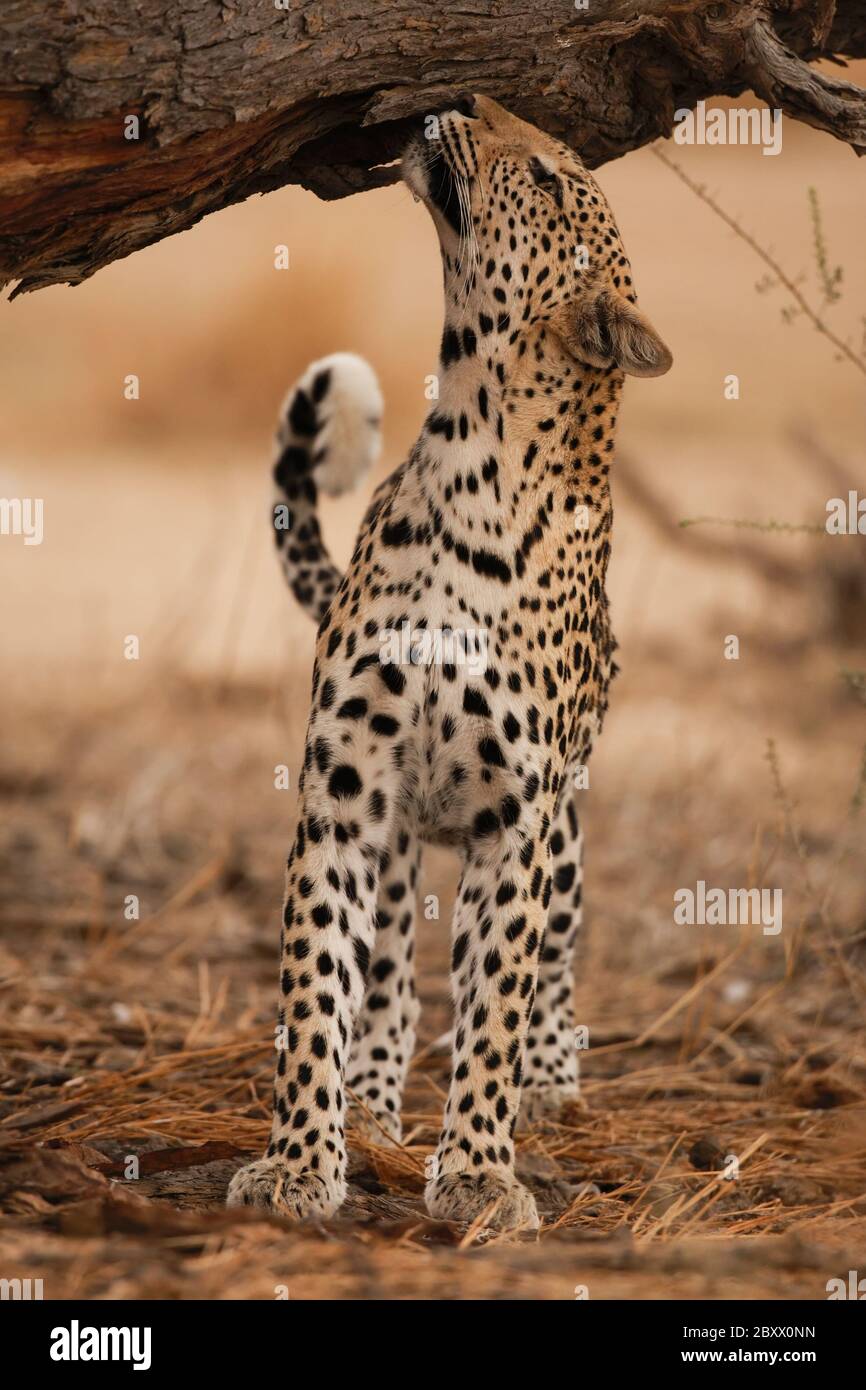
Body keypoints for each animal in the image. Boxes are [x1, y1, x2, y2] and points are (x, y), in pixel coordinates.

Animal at [226, 93, 672, 1232]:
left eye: (553, 178)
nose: (465, 99)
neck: (467, 454)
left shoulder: (515, 820)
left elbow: (495, 1007)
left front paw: (477, 1171)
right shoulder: (344, 796)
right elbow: (315, 988)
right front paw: (300, 1161)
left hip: (565, 830)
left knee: (550, 960)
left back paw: (551, 1085)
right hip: (394, 848)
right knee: (390, 983)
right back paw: (375, 1110)